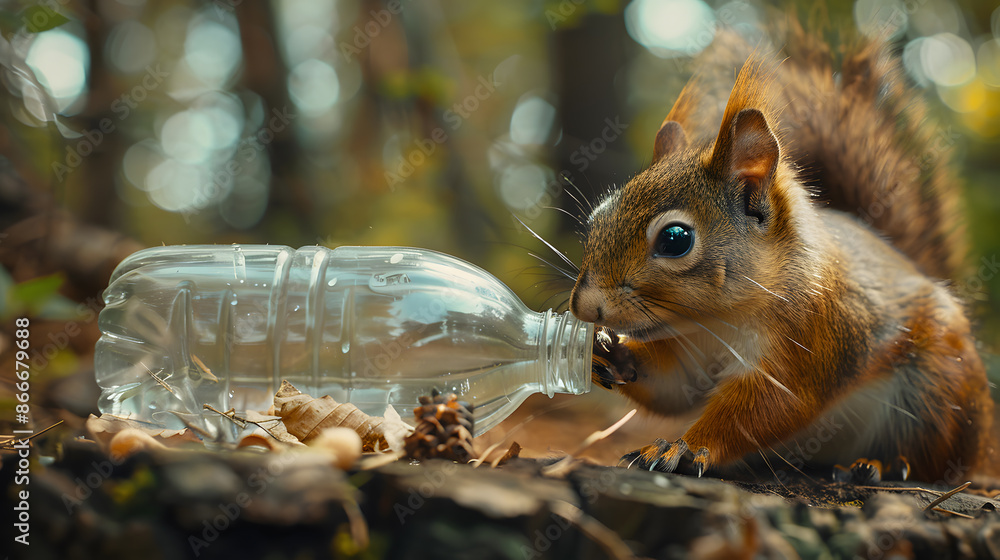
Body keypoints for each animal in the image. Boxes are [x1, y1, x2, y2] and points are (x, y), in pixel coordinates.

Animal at [568, 20, 994, 483]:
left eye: (675, 239)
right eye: (596, 218)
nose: (584, 308)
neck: (715, 323)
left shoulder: (811, 339)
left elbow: (767, 408)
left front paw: (683, 448)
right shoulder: (690, 355)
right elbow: (673, 388)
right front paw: (609, 350)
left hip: (935, 393)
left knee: (936, 460)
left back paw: (881, 464)